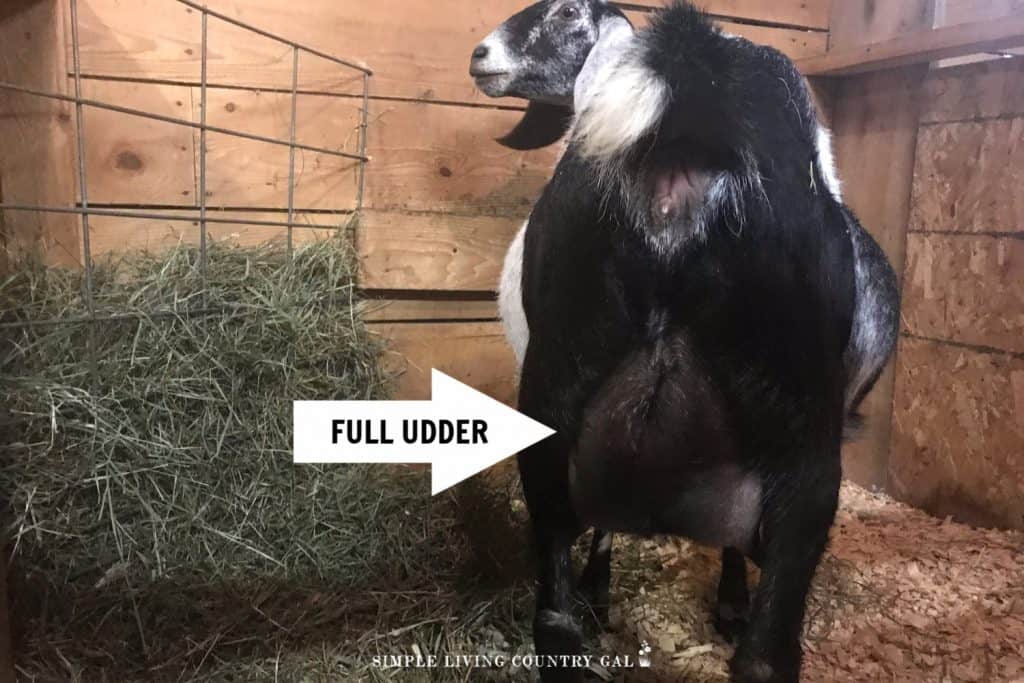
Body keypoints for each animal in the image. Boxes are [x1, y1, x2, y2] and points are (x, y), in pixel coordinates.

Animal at [469, 2, 899, 682]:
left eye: (565, 11)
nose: (480, 56)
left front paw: (602, 595)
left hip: (554, 398)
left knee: (556, 618)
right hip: (800, 439)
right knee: (764, 654)